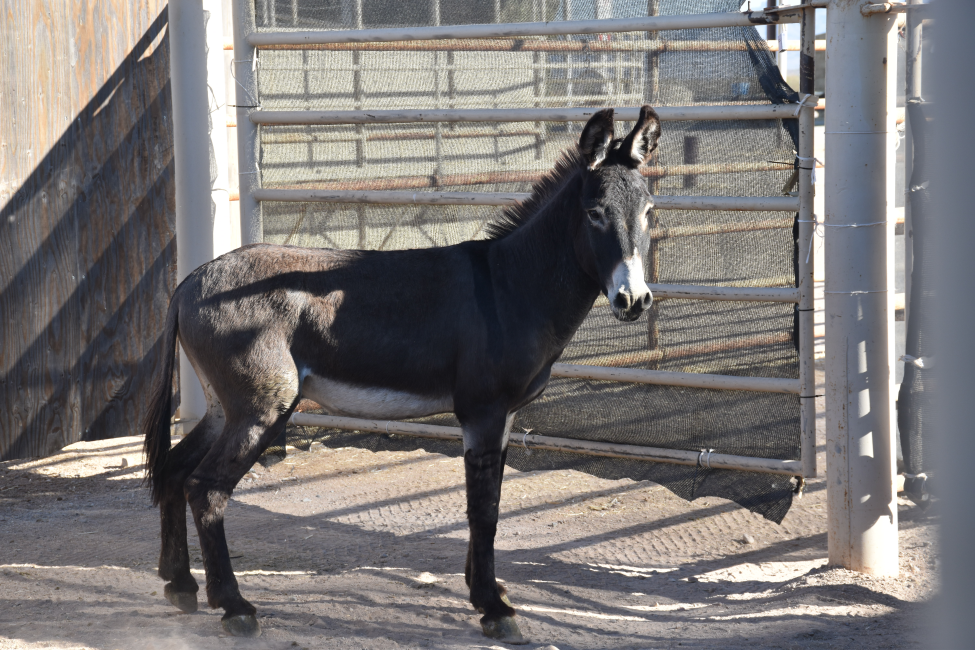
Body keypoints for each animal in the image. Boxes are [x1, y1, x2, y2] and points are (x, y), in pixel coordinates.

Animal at [143, 105, 662, 643]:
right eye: (594, 213)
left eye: (649, 211)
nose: (634, 301)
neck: (510, 286)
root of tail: (188, 282)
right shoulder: (483, 412)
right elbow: (483, 510)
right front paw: (494, 608)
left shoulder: (504, 418)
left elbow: (490, 504)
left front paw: (485, 593)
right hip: (261, 406)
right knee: (206, 489)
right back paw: (234, 606)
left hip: (224, 406)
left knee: (174, 470)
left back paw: (180, 584)